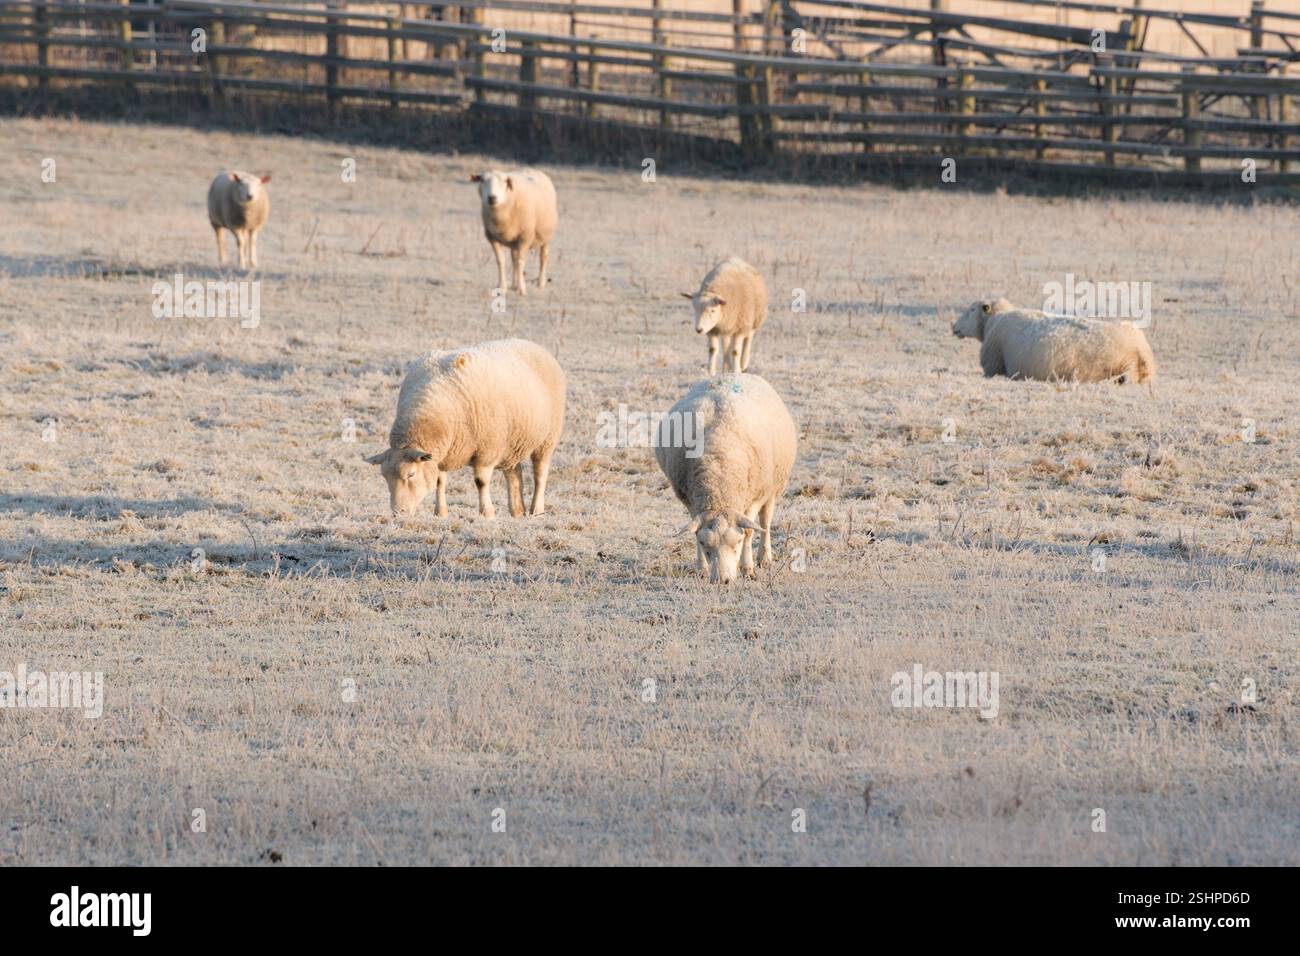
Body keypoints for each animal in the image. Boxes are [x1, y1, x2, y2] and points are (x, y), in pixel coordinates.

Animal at [365, 338, 566, 519]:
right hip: (512, 443)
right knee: (514, 474)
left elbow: (481, 482)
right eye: (384, 477)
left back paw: (536, 510)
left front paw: (487, 513)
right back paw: (517, 511)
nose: (397, 513)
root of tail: (534, 344)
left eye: (411, 474)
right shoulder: (442, 456)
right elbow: (439, 482)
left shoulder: (487, 450)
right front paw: (441, 513)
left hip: (548, 438)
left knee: (540, 474)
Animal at [654, 373, 797, 584]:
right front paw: (702, 569)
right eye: (704, 543)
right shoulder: (690, 500)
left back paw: (764, 558)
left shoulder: (754, 497)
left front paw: (747, 569)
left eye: (737, 542)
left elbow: (749, 531)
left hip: (773, 487)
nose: (723, 580)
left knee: (765, 522)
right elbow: (694, 530)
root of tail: (732, 374)